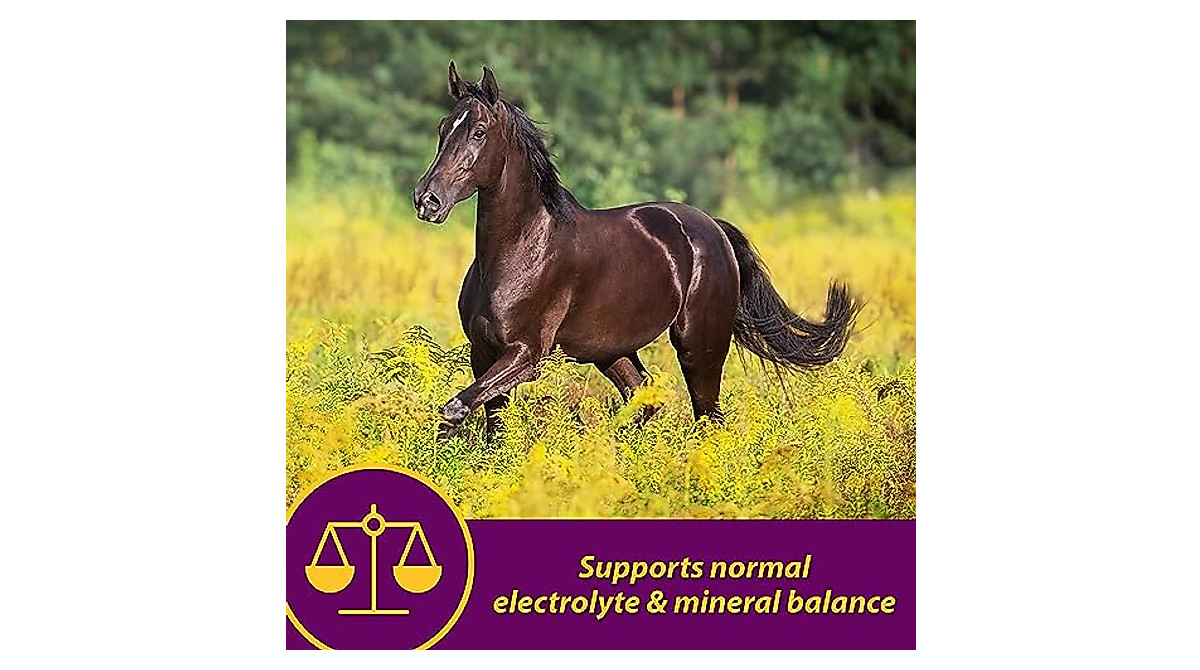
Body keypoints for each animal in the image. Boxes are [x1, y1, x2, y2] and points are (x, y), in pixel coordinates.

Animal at [413, 63, 860, 441]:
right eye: (442, 127)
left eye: (479, 131)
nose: (427, 200)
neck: (518, 251)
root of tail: (713, 228)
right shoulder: (483, 350)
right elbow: (492, 423)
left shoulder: (526, 354)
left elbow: (457, 406)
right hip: (611, 351)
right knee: (646, 398)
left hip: (699, 345)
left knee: (708, 416)